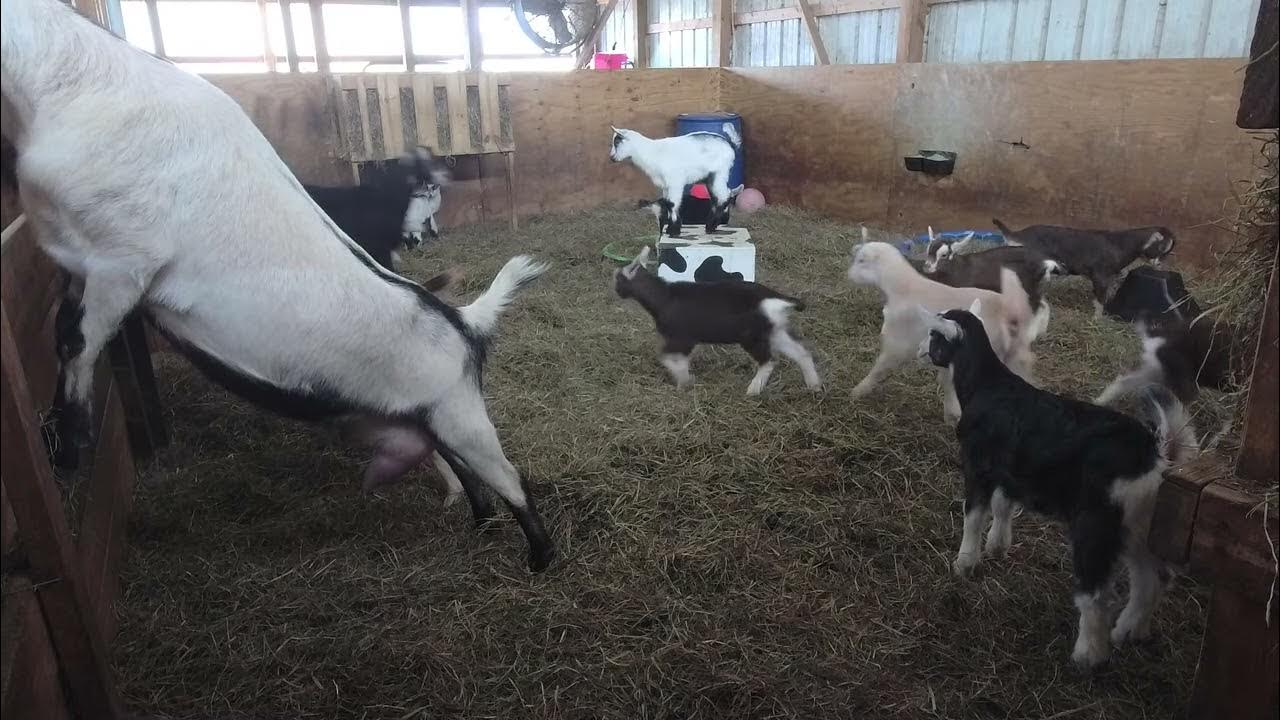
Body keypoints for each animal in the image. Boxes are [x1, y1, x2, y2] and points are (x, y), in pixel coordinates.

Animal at [610, 124, 741, 238]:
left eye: (617, 141)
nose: (612, 158)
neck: (652, 153)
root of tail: (730, 144)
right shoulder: (665, 185)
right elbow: (667, 203)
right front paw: (670, 229)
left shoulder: (675, 181)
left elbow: (671, 203)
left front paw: (674, 231)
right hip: (711, 178)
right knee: (719, 196)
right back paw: (712, 225)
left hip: (719, 173)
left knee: (723, 197)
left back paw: (711, 226)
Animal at [613, 246, 821, 395]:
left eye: (618, 279)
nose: (615, 291)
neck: (663, 297)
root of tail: (772, 299)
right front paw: (686, 381)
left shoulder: (681, 339)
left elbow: (666, 357)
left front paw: (684, 381)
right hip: (775, 332)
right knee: (801, 353)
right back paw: (814, 385)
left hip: (751, 337)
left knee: (769, 361)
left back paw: (753, 390)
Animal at [846, 240, 1039, 423]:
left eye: (861, 260)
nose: (848, 275)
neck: (901, 287)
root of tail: (1010, 312)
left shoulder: (898, 341)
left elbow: (880, 367)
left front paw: (857, 391)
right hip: (1015, 354)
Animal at [918, 299, 1187, 669]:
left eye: (933, 335)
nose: (920, 350)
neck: (987, 386)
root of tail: (1151, 453)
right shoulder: (1010, 470)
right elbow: (1003, 505)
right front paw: (997, 546)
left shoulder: (979, 467)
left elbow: (973, 515)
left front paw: (965, 563)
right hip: (1140, 526)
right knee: (1151, 579)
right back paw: (1130, 631)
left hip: (1097, 525)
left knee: (1095, 594)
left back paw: (1088, 655)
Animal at [992, 218, 1176, 316]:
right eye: (1161, 249)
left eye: (1168, 253)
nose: (1159, 264)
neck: (1122, 244)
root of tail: (1018, 235)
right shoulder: (1101, 276)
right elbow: (1100, 299)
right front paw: (1098, 320)